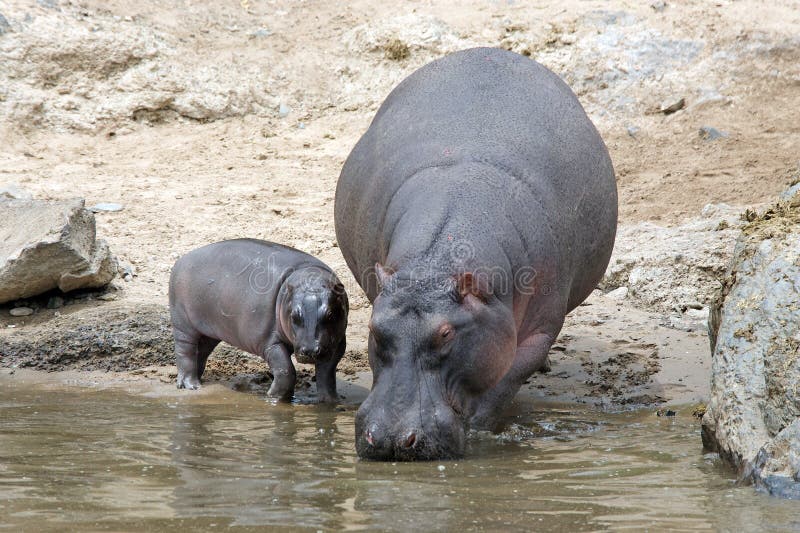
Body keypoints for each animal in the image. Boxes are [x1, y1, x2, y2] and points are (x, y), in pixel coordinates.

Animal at [168, 239, 349, 403]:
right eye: (294, 316)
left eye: (331, 315)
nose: (310, 351)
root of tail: (180, 261)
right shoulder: (269, 343)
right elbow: (286, 370)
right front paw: (274, 399)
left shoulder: (337, 343)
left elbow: (327, 372)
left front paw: (331, 402)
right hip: (184, 325)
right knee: (185, 352)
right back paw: (191, 385)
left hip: (209, 330)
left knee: (201, 351)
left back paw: (199, 379)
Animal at [334, 48, 617, 460]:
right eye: (373, 330)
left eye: (447, 333)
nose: (389, 440)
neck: (435, 264)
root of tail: (490, 51)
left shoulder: (533, 335)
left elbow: (500, 389)